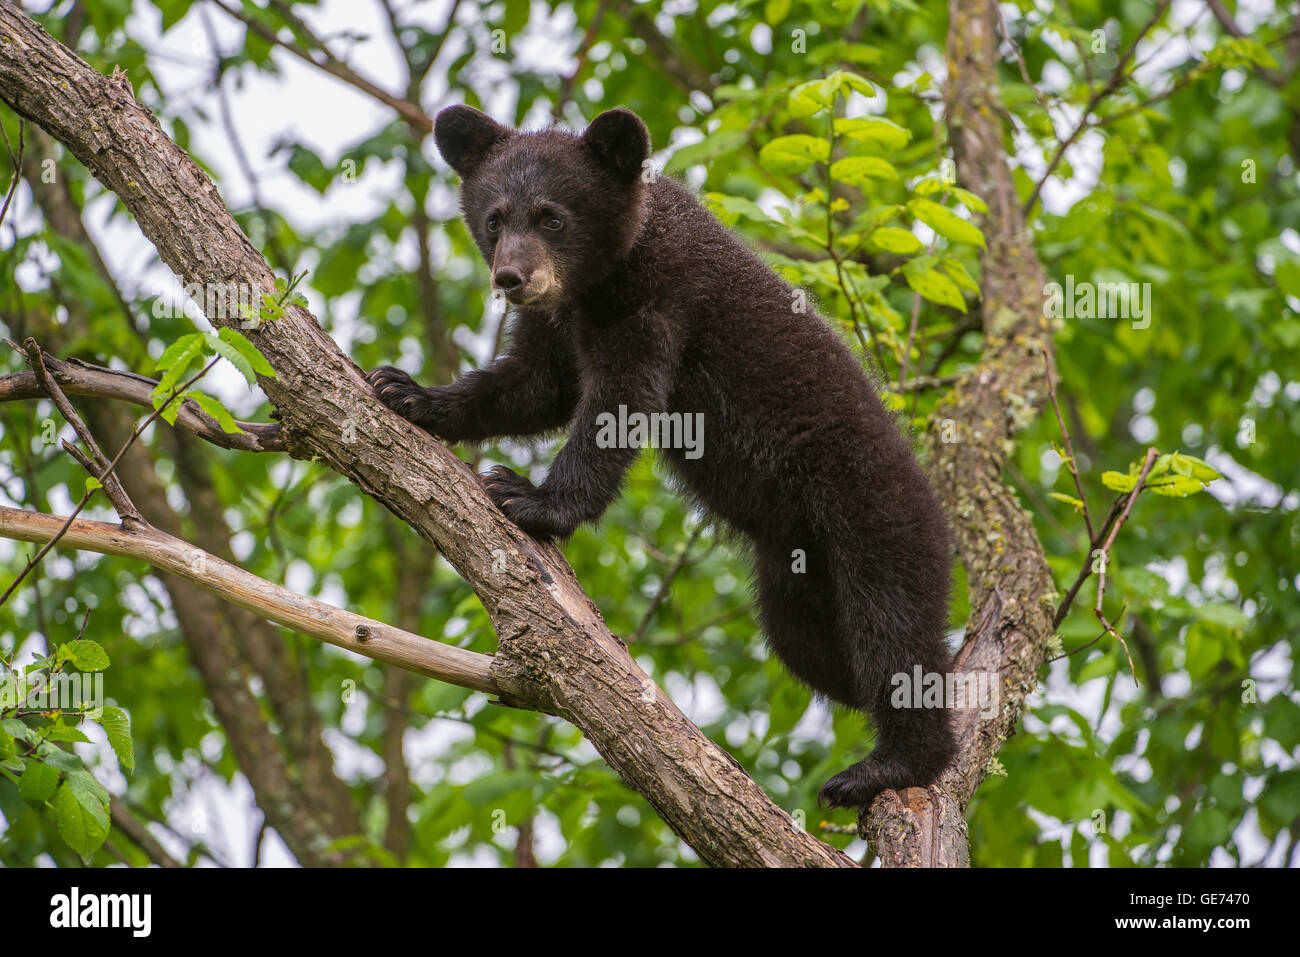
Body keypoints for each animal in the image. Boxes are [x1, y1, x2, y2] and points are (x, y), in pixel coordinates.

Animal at [368, 105, 957, 809]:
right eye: (494, 219)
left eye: (551, 217)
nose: (511, 278)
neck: (604, 273)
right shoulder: (559, 320)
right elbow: (532, 386)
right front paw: (411, 393)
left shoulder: (657, 302)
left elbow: (616, 405)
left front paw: (531, 498)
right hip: (793, 576)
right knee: (808, 646)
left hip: (873, 515)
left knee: (893, 635)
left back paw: (888, 766)